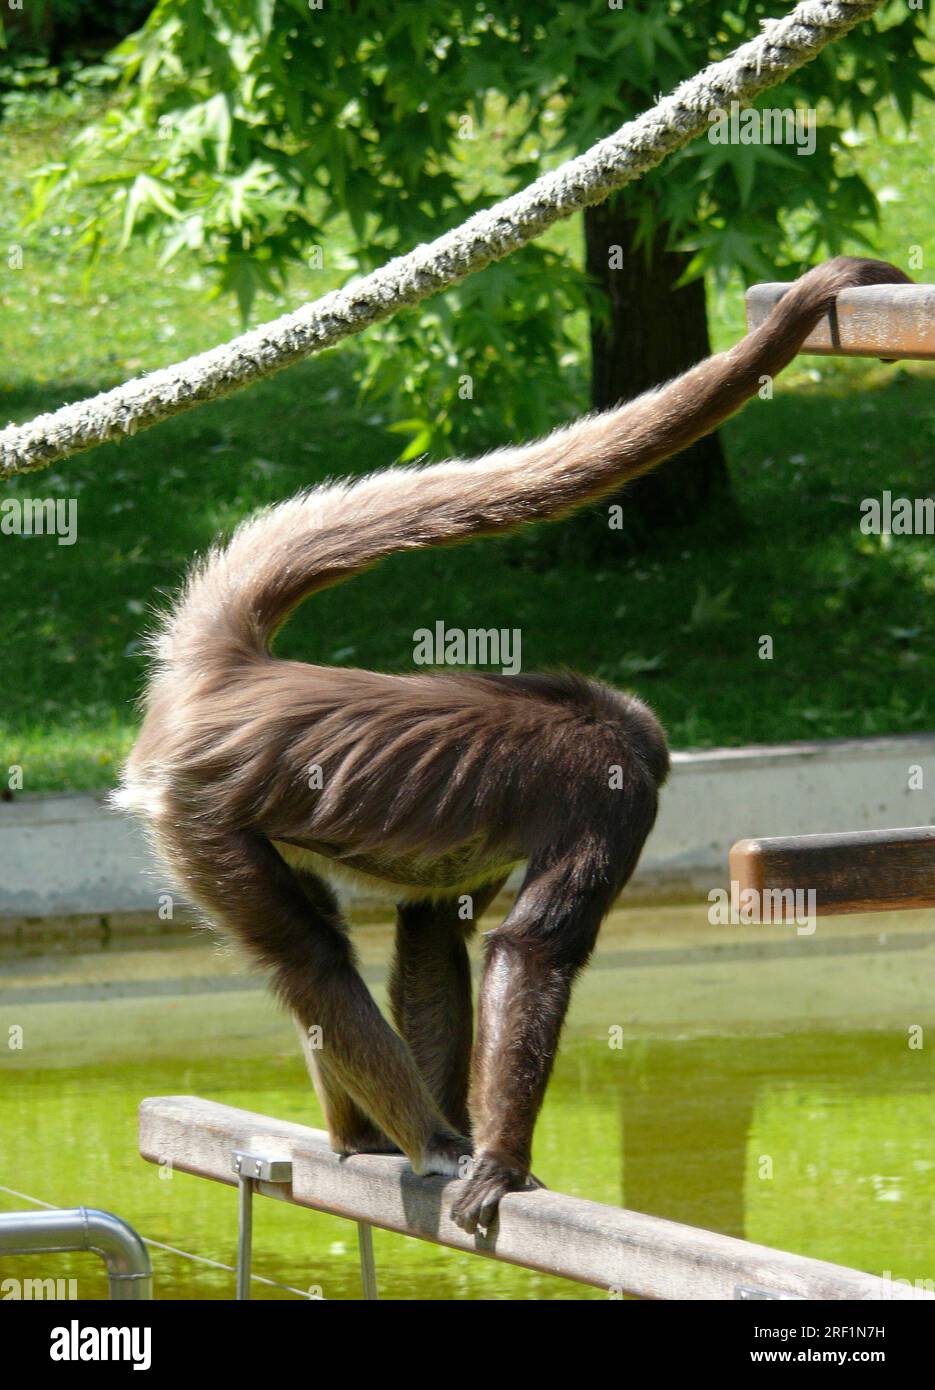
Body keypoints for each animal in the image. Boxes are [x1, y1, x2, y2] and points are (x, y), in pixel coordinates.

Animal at [113, 256, 909, 1235]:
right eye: (639, 777)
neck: (597, 713)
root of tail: (235, 675)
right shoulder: (617, 793)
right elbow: (530, 952)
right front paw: (496, 1159)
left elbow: (433, 929)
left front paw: (476, 1136)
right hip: (198, 810)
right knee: (310, 955)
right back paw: (429, 1138)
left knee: (320, 942)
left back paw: (361, 1137)